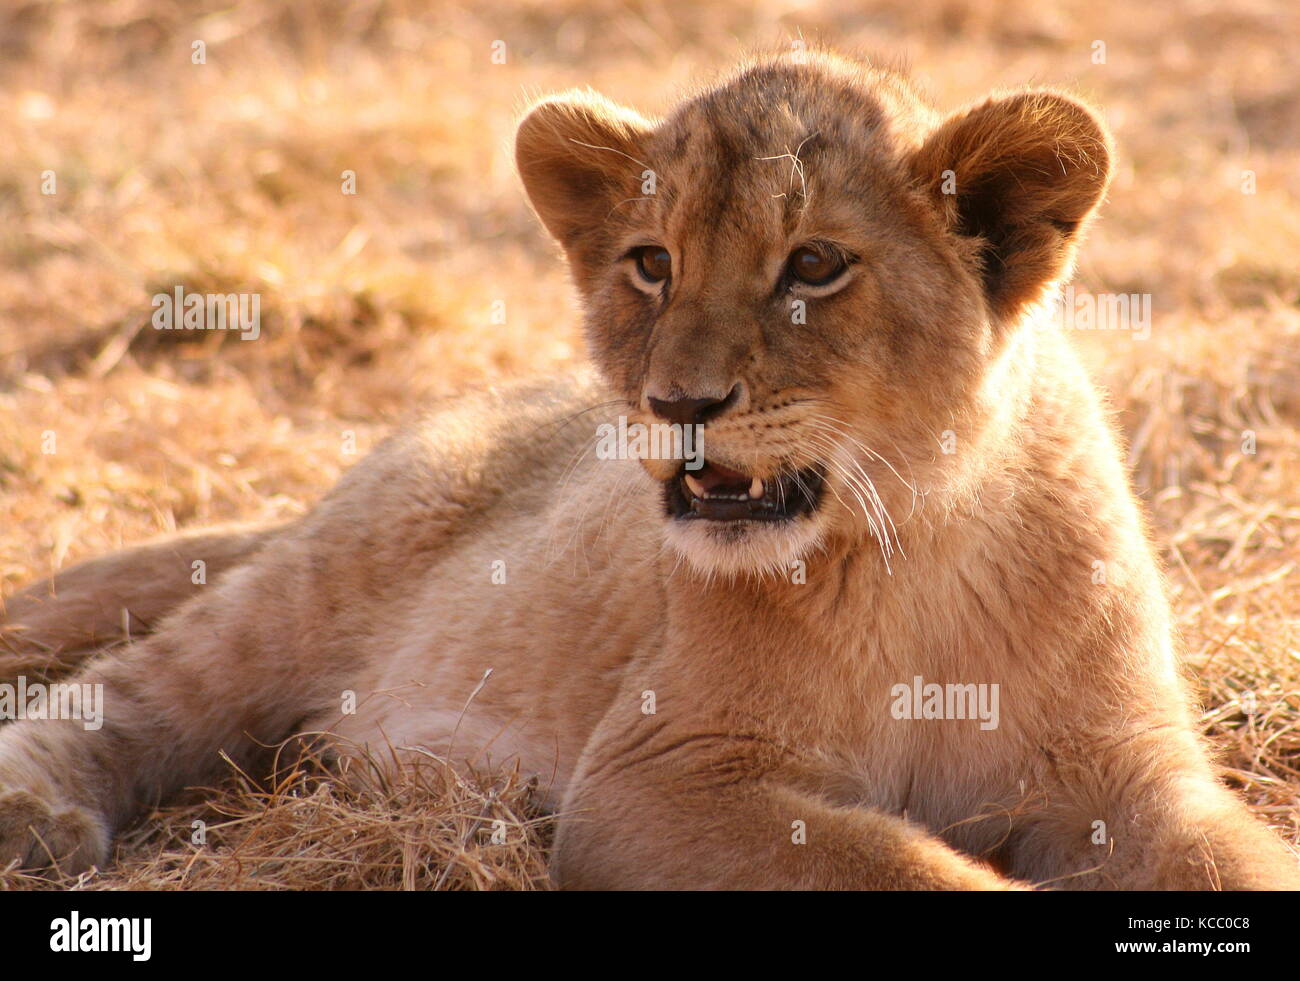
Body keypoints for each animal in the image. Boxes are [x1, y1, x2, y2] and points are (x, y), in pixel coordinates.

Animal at [2, 51, 1297, 890]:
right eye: (651, 263)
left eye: (814, 265)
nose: (676, 405)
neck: (916, 538)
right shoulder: (654, 779)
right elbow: (902, 867)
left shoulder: (1130, 771)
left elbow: (1234, 862)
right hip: (309, 586)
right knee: (129, 695)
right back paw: (30, 811)